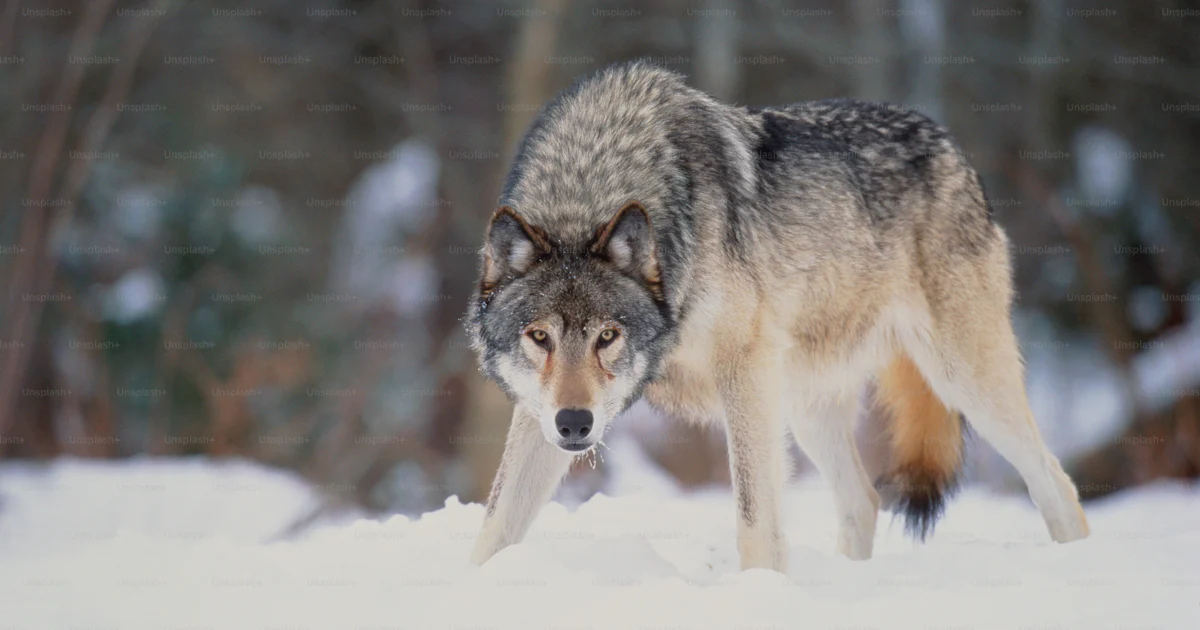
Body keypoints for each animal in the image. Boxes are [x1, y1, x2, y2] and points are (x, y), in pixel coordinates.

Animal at [466, 61, 1089, 571]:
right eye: (539, 337)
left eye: (607, 336)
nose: (575, 424)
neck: (594, 178)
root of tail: (949, 142)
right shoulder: (538, 411)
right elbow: (495, 525)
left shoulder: (744, 372)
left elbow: (754, 518)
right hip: (805, 406)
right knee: (864, 502)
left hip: (962, 381)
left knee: (1057, 484)